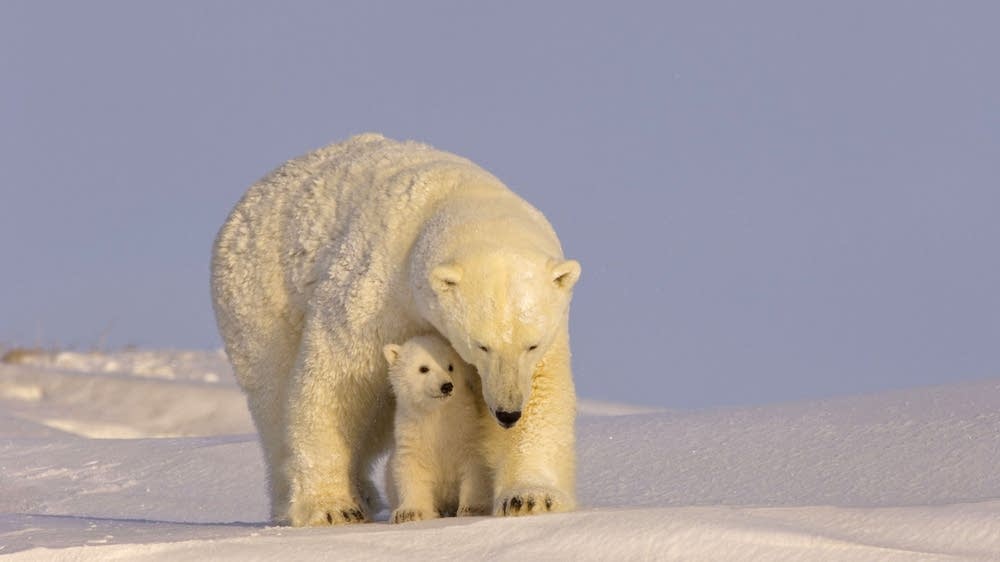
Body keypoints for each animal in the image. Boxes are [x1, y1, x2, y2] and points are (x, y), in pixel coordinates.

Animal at [383, 334, 492, 523]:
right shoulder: (412, 434)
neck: (437, 415)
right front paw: (409, 513)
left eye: (450, 366)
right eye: (423, 368)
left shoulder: (467, 431)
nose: (446, 386)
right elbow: (410, 468)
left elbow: (474, 466)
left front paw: (472, 508)